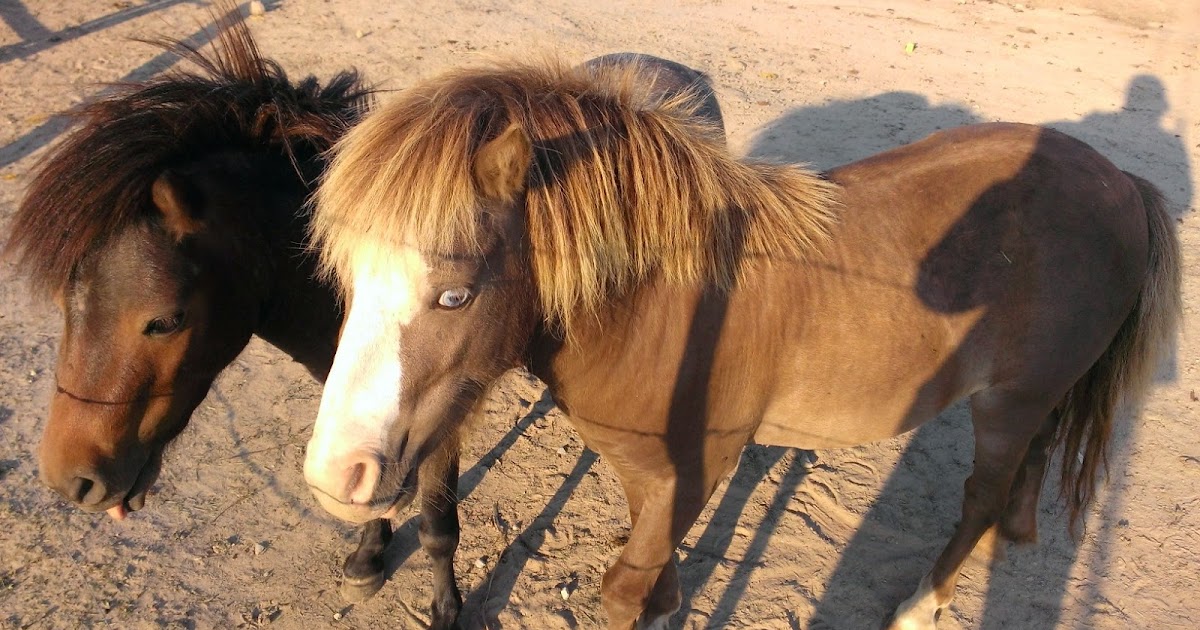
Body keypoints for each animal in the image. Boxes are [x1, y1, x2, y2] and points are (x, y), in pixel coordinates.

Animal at [1, 8, 727, 628]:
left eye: (164, 320)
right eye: (66, 305)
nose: (71, 480)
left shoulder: (435, 413)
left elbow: (437, 525)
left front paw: (445, 608)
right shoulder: (360, 410)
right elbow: (364, 489)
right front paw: (368, 556)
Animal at [302, 59, 1182, 629]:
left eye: (455, 293)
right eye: (345, 275)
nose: (334, 476)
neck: (660, 305)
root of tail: (1119, 183)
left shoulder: (698, 469)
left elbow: (628, 591)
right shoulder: (652, 475)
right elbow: (657, 580)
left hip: (1009, 402)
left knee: (982, 494)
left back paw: (921, 603)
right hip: (1038, 397)